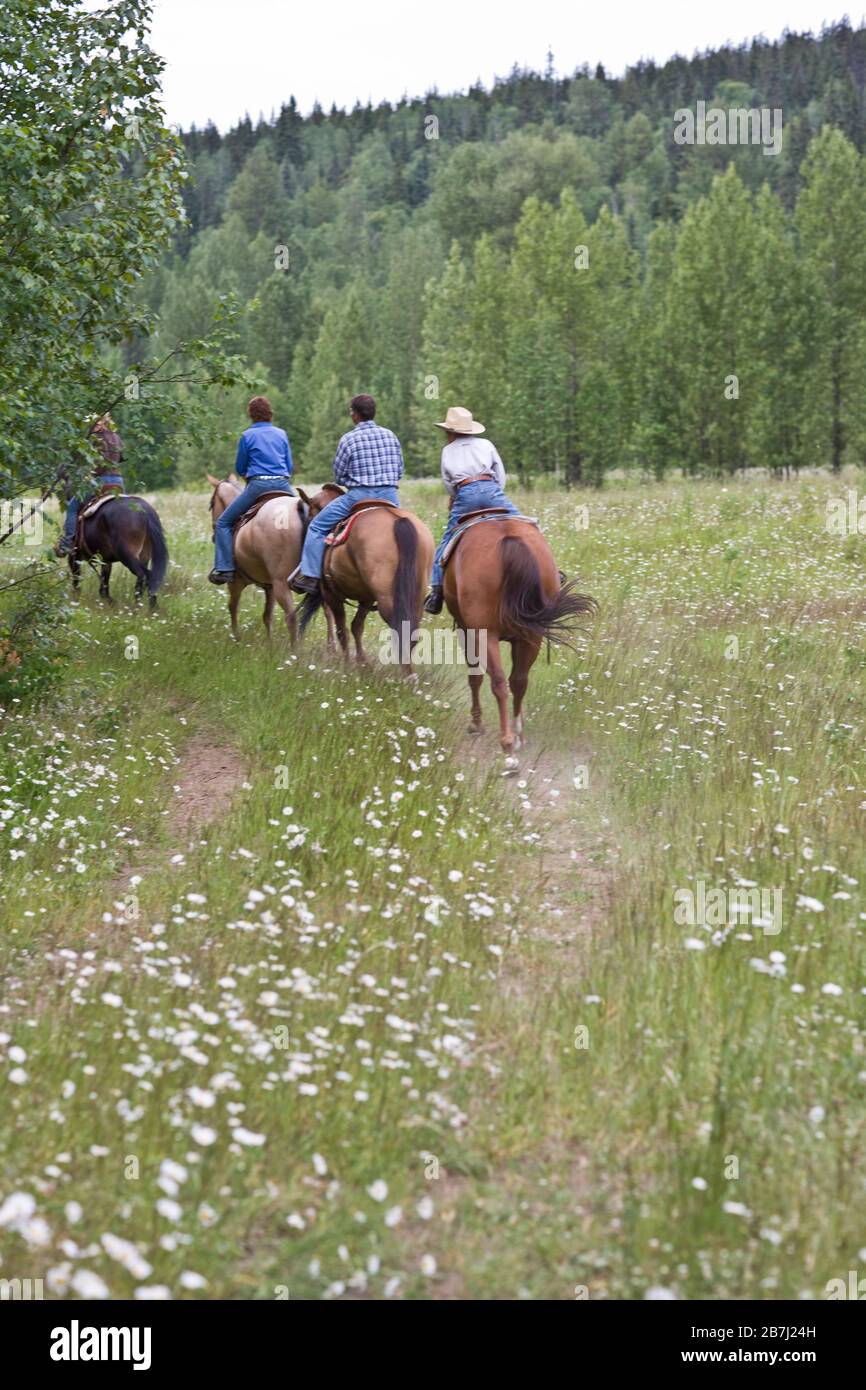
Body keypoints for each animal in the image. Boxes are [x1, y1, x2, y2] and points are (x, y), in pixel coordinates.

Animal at [206, 474, 306, 643]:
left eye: (212, 504)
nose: (214, 536)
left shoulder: (236, 582)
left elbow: (232, 607)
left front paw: (237, 637)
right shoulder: (270, 587)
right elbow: (267, 616)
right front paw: (270, 643)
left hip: (281, 583)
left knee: (292, 618)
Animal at [296, 484, 434, 670]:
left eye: (310, 517)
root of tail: (398, 520)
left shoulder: (331, 594)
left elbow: (342, 630)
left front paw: (347, 664)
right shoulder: (366, 598)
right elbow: (356, 627)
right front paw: (362, 663)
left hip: (386, 597)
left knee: (399, 628)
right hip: (416, 594)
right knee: (411, 629)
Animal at [442, 518, 596, 754]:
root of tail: (510, 540)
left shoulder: (465, 630)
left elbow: (474, 676)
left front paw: (476, 724)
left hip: (486, 635)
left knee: (498, 681)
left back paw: (506, 740)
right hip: (531, 637)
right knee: (519, 681)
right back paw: (518, 736)